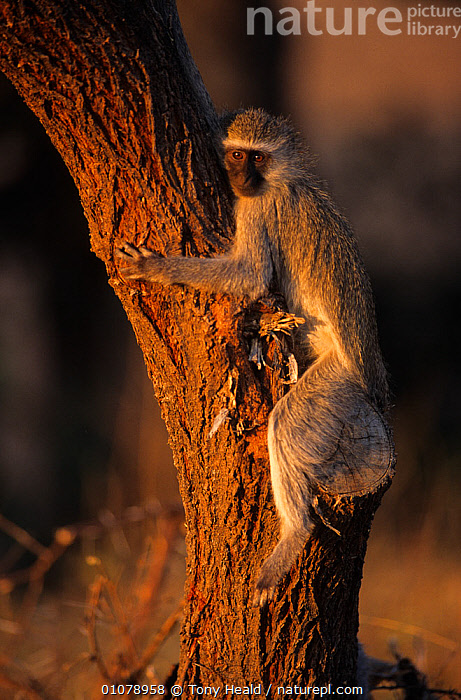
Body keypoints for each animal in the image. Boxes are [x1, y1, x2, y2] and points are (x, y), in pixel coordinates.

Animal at [116, 108, 394, 608]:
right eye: (237, 154)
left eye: (258, 157)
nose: (243, 176)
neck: (280, 180)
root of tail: (371, 380)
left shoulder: (258, 208)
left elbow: (249, 275)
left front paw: (154, 267)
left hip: (336, 385)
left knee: (285, 421)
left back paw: (295, 533)